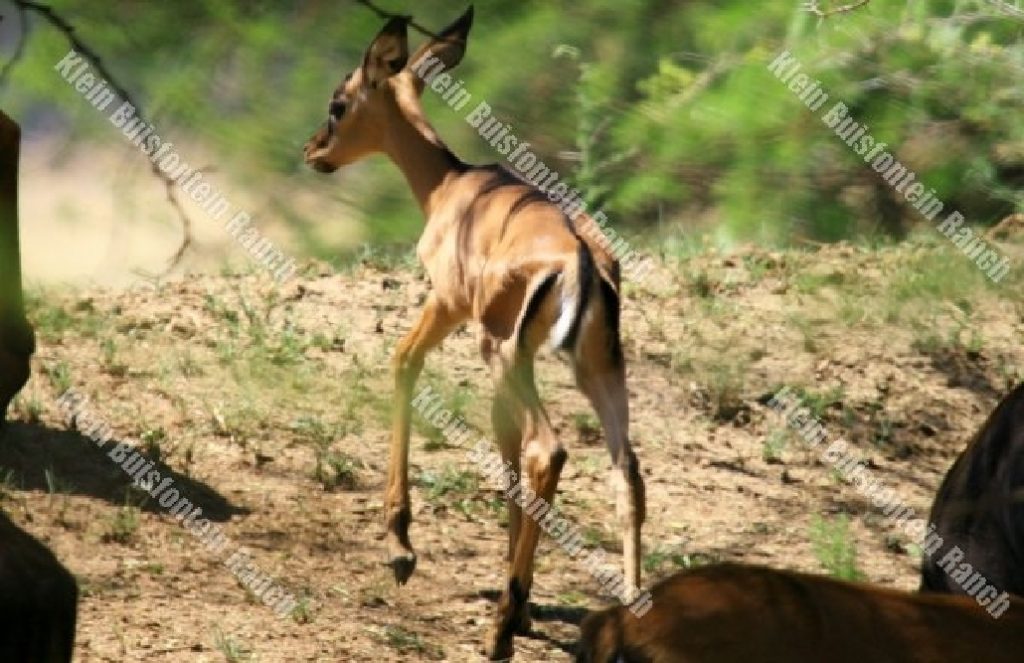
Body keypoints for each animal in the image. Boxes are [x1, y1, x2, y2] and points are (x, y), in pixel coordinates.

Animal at [303, 7, 645, 658]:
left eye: (338, 101)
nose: (313, 151)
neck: (449, 187)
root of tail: (583, 258)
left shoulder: (447, 305)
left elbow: (402, 363)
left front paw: (400, 547)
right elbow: (504, 448)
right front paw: (525, 603)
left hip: (505, 353)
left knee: (549, 449)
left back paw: (498, 633)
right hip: (593, 368)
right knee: (625, 472)